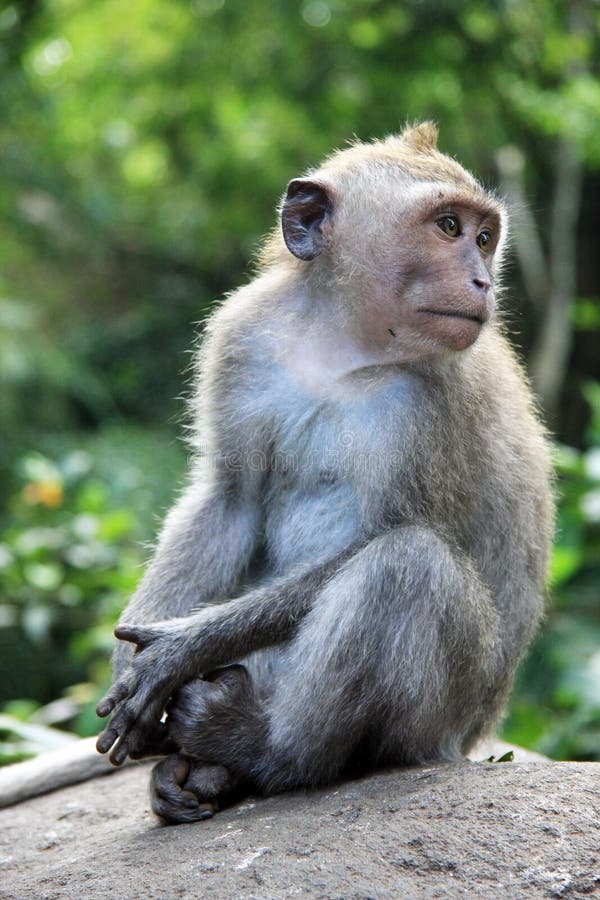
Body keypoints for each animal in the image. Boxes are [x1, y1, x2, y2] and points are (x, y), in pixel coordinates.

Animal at [13, 123, 557, 824]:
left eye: (485, 237)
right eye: (448, 227)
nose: (482, 280)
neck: (342, 346)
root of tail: (475, 737)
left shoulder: (439, 397)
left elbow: (381, 541)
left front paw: (180, 651)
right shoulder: (240, 337)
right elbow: (230, 501)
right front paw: (126, 662)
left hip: (444, 717)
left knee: (404, 565)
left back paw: (261, 748)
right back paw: (202, 773)